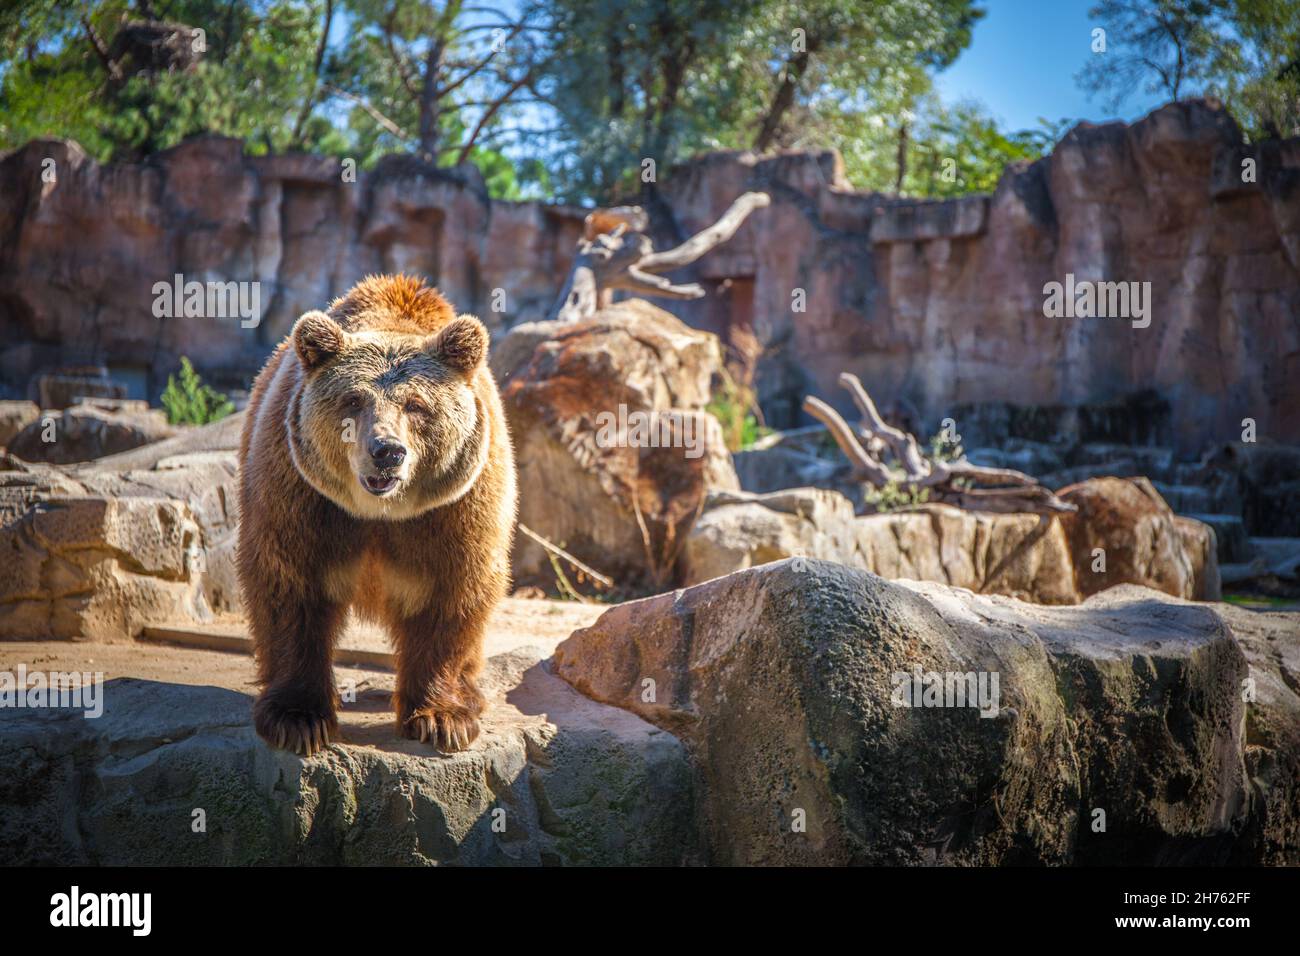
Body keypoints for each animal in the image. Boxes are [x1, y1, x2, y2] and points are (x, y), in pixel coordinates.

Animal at [237, 274, 516, 756]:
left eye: (416, 404)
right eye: (353, 400)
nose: (387, 451)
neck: (381, 514)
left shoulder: (458, 507)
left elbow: (453, 593)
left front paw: (442, 718)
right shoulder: (300, 494)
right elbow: (290, 584)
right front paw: (298, 719)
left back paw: (472, 695)